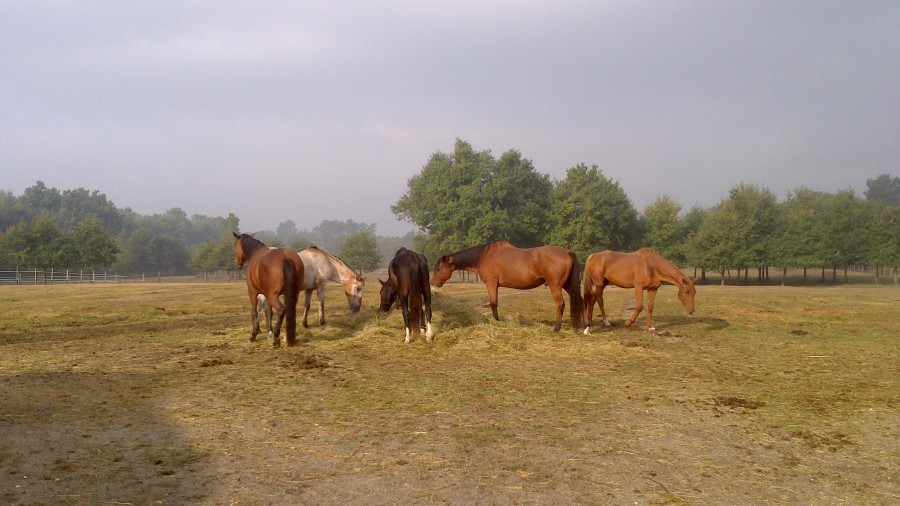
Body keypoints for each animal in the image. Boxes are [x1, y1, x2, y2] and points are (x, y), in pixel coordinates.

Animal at [430, 241, 583, 333]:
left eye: (438, 269)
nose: (432, 283)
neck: (483, 256)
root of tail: (567, 252)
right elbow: (495, 303)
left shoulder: (491, 283)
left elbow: (493, 303)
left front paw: (497, 321)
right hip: (567, 285)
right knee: (579, 301)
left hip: (555, 286)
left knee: (560, 305)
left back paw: (556, 328)